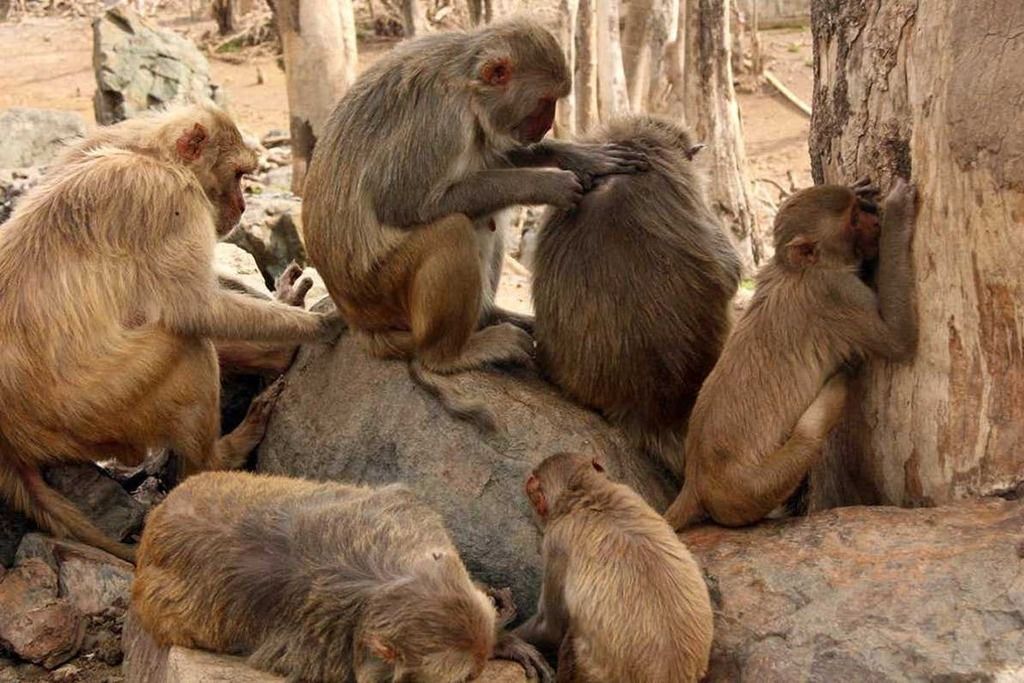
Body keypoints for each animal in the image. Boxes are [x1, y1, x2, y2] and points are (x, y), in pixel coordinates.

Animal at [0, 104, 343, 563]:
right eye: (238, 175)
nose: (241, 205)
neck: (151, 154)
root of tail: (11, 439)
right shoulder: (169, 199)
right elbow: (193, 308)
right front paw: (321, 326)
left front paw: (286, 302)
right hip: (100, 411)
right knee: (186, 343)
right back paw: (220, 457)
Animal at [302, 17, 647, 432]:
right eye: (545, 101)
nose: (548, 125)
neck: (467, 84)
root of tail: (360, 323)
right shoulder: (440, 120)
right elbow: (401, 203)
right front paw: (548, 184)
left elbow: (495, 155)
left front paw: (579, 156)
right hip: (381, 291)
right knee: (452, 231)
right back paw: (451, 354)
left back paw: (491, 317)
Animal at [664, 178, 918, 530]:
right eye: (854, 220)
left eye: (857, 208)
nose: (875, 222)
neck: (798, 270)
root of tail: (695, 483)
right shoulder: (835, 291)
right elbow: (899, 339)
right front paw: (897, 213)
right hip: (749, 489)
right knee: (807, 439)